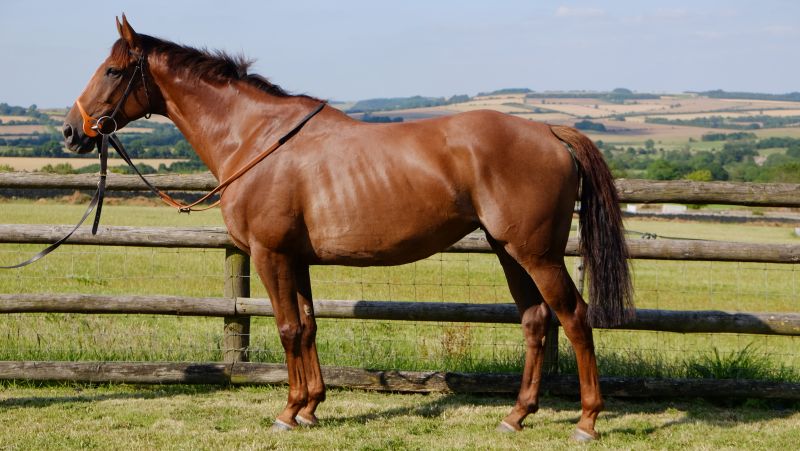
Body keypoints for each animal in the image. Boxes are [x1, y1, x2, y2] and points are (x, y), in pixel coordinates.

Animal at [62, 15, 632, 441]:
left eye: (113, 70)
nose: (71, 131)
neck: (256, 137)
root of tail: (550, 130)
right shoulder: (296, 259)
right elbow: (309, 325)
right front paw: (312, 407)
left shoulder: (270, 255)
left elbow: (287, 328)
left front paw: (288, 412)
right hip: (508, 249)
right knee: (536, 321)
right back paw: (515, 416)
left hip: (536, 253)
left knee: (574, 318)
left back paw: (586, 421)